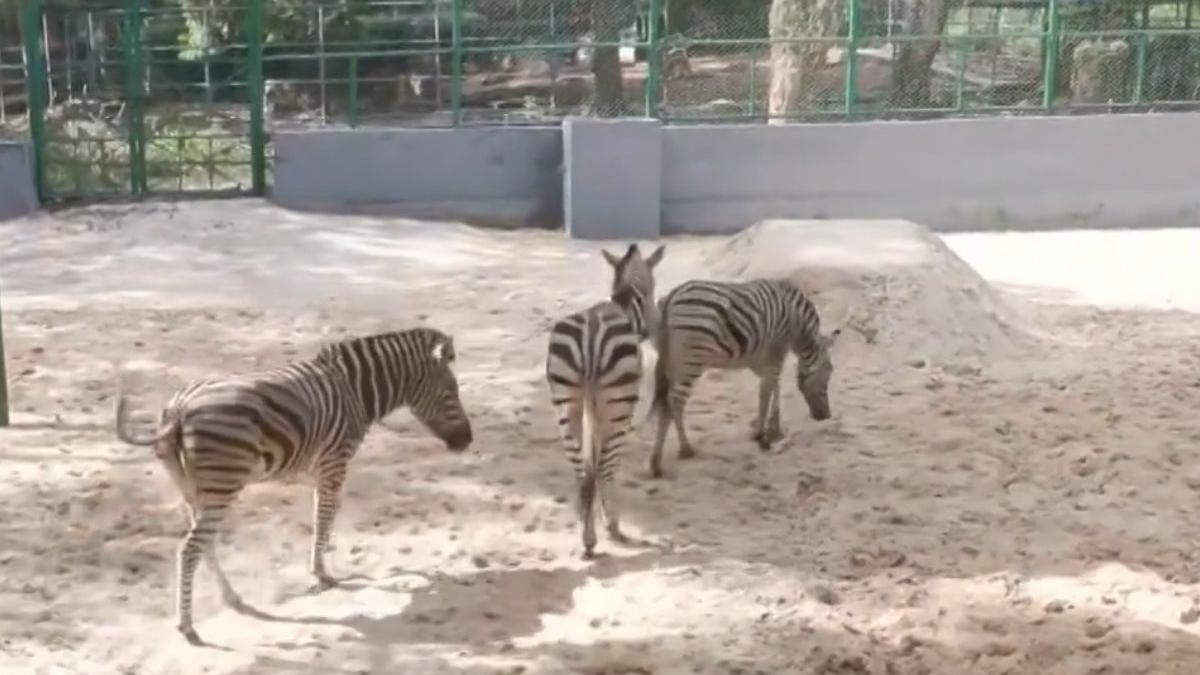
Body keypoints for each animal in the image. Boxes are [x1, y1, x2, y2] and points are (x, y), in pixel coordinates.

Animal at [114, 327, 472, 645]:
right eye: (451, 393)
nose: (467, 441)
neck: (354, 391)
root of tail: (179, 408)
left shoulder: (314, 467)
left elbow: (323, 512)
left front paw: (320, 566)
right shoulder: (334, 462)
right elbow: (324, 515)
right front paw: (322, 574)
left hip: (192, 488)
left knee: (205, 543)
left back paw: (232, 598)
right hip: (221, 484)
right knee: (190, 549)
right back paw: (188, 626)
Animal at [545, 243, 665, 559]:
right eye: (652, 288)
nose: (653, 330)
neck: (624, 306)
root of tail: (590, 337)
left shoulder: (591, 407)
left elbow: (590, 459)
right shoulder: (612, 408)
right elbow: (601, 461)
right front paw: (607, 520)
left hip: (566, 403)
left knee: (582, 474)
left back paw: (586, 535)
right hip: (619, 408)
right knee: (605, 468)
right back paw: (606, 530)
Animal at [647, 278, 841, 478]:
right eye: (829, 371)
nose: (826, 416)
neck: (797, 323)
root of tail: (673, 296)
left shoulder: (758, 358)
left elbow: (773, 385)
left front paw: (773, 427)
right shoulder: (776, 350)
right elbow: (766, 391)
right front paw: (761, 435)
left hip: (672, 362)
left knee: (667, 402)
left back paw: (668, 456)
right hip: (691, 360)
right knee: (675, 403)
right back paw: (675, 454)